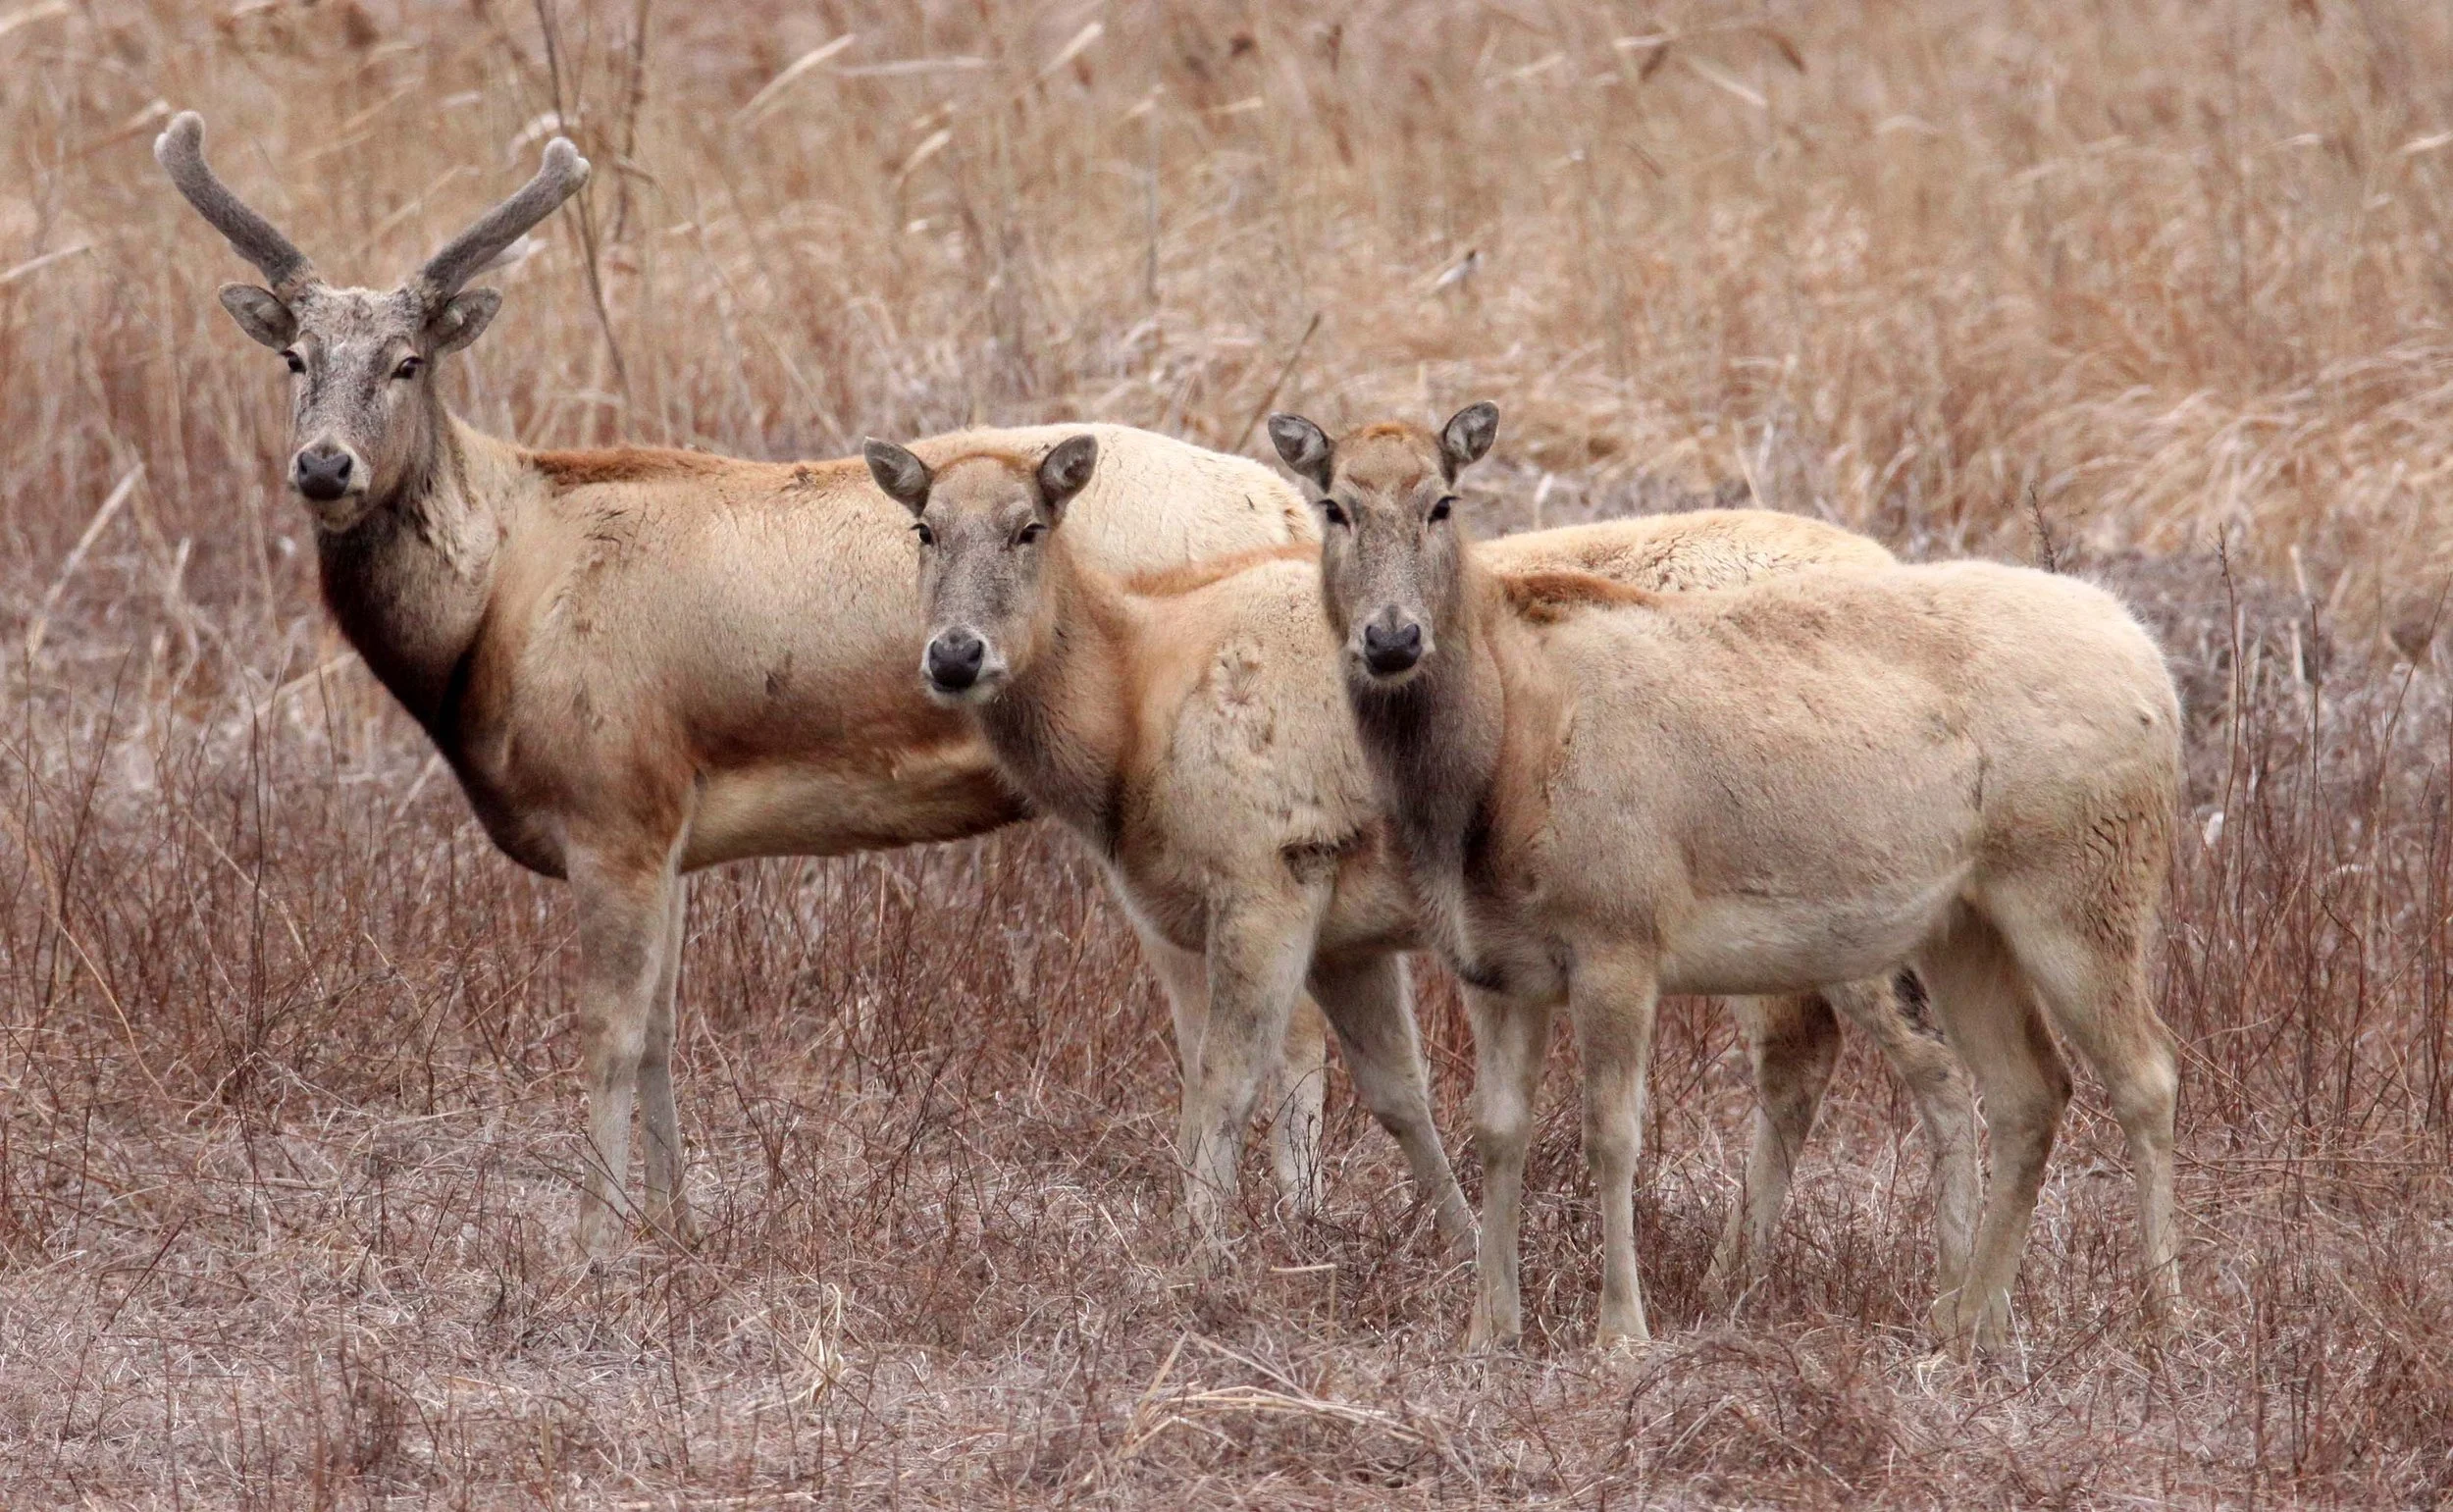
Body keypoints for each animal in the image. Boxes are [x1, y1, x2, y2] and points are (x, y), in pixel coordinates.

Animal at [154, 112, 1342, 1260]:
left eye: (407, 362)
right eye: (295, 356)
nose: (324, 466)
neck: (499, 600)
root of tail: (1287, 505)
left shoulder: (613, 794)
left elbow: (607, 1033)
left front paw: (592, 1247)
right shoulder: (666, 816)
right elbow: (662, 1032)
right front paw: (674, 1224)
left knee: (1280, 1024)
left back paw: (1289, 1224)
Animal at [861, 431, 1979, 1285]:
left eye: (1030, 526)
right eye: (923, 528)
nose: (953, 655)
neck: (1133, 714)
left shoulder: (1268, 867)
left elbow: (1225, 1080)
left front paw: (1197, 1262)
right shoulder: (1345, 931)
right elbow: (1400, 1095)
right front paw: (1460, 1245)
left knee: (1925, 1062)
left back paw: (1944, 1291)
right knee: (1810, 1052)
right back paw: (1735, 1275)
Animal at [1279, 403, 2184, 1358]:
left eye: (1443, 502)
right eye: (1334, 506)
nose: (1391, 638)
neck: (1491, 778)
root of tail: (2154, 668)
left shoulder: (1619, 933)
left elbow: (1613, 1133)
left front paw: (1622, 1330)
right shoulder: (1489, 965)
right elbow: (1495, 1131)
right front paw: (1490, 1327)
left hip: (2084, 884)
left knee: (2147, 1071)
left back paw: (2161, 1311)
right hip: (1963, 926)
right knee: (2029, 1090)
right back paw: (1969, 1323)